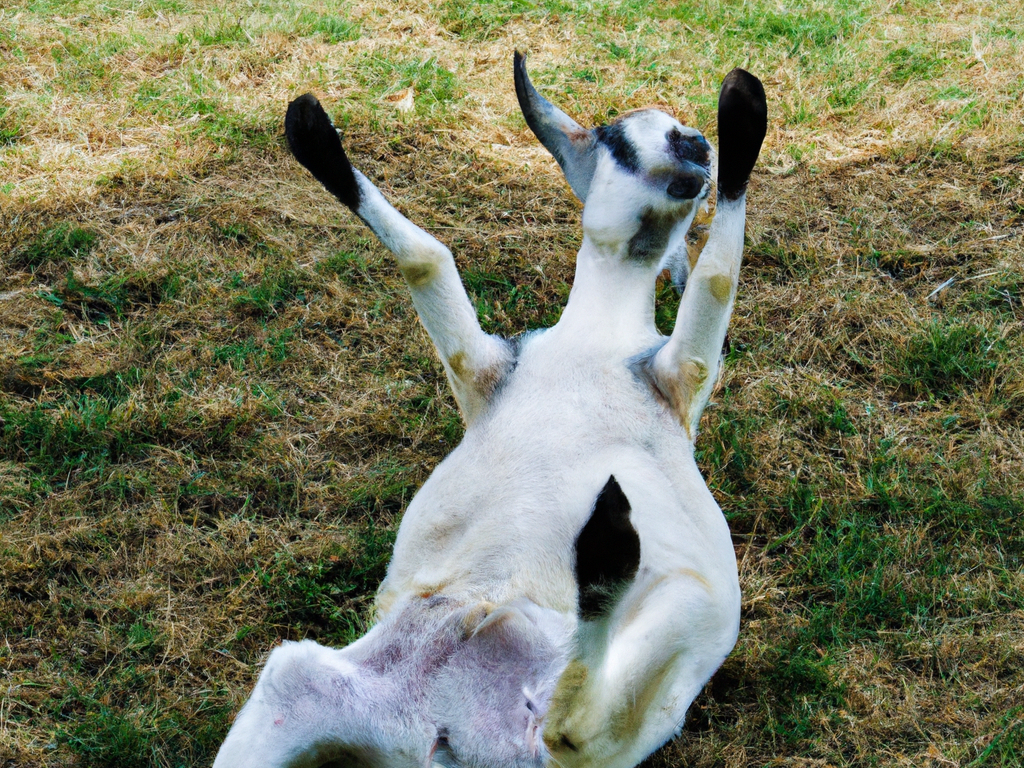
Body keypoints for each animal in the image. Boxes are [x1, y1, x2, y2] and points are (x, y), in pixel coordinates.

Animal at [213, 53, 767, 768]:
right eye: (618, 139)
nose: (696, 147)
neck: (598, 334)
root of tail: (447, 737)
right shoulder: (484, 369)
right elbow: (427, 259)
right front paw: (312, 135)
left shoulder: (679, 376)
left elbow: (716, 280)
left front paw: (743, 115)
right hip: (302, 688)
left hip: (694, 605)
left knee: (576, 729)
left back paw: (607, 552)